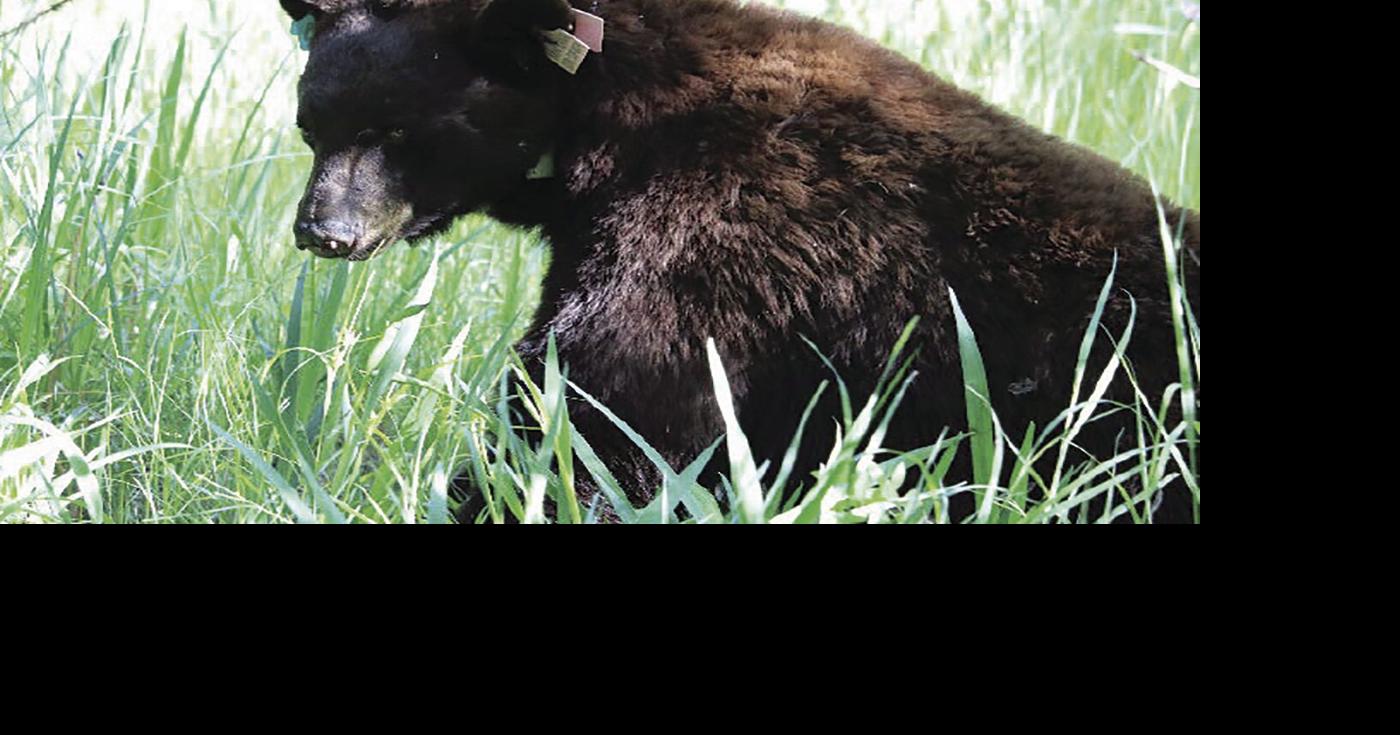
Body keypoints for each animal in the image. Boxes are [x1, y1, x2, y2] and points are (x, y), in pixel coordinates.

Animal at [277, 0, 1201, 522]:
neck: (609, 118)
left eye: (398, 130)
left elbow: (605, 415)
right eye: (311, 125)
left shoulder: (703, 244)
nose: (322, 230)